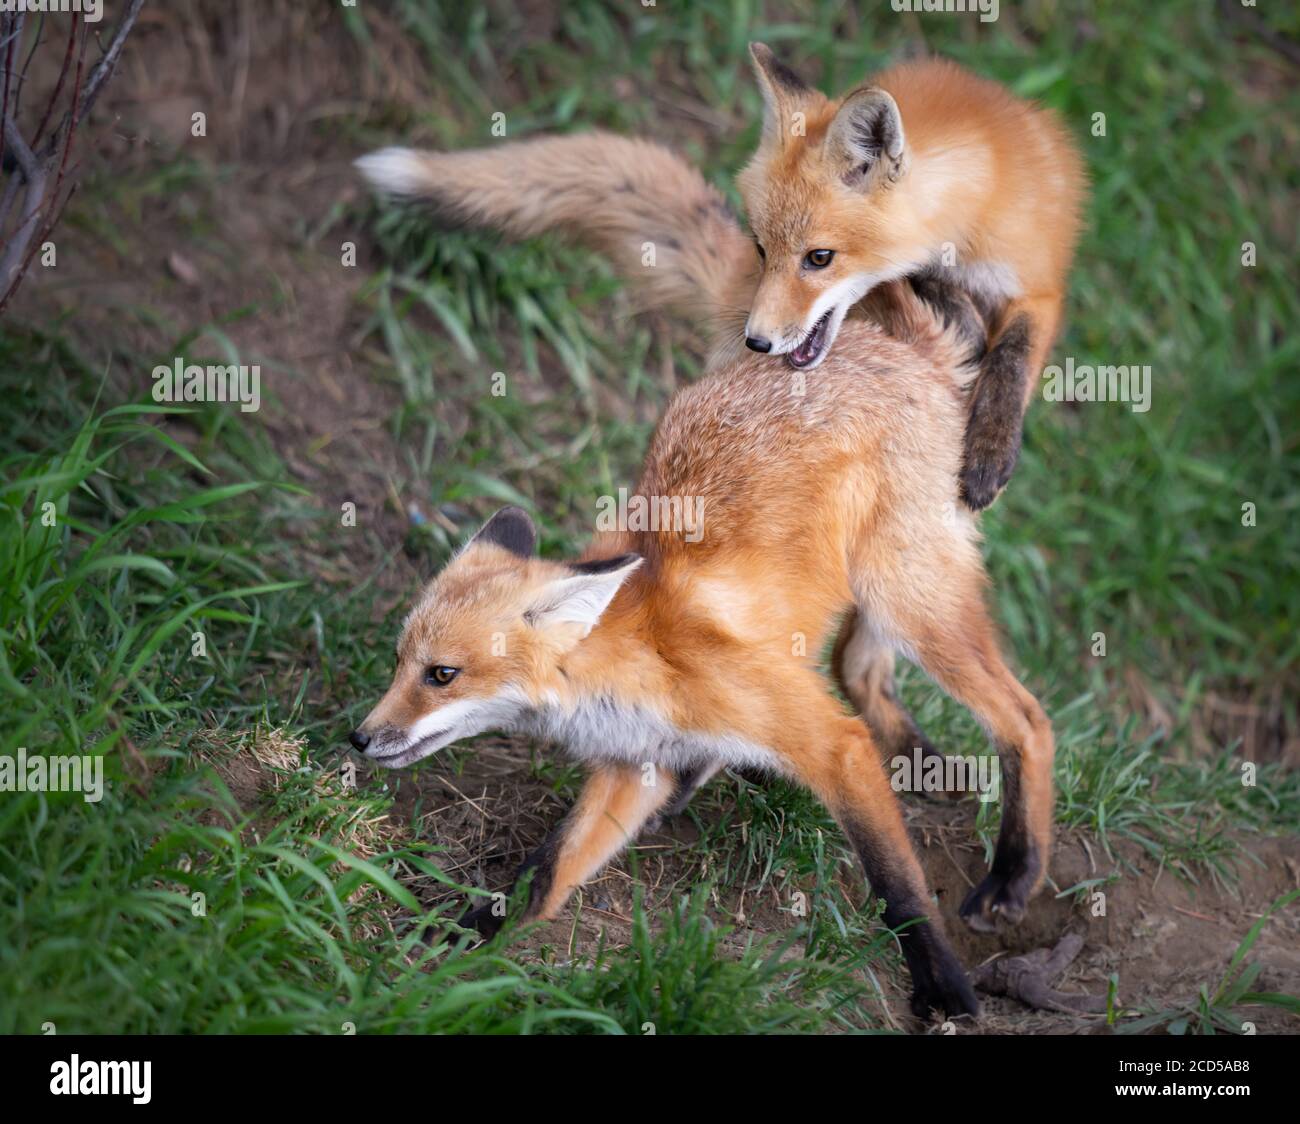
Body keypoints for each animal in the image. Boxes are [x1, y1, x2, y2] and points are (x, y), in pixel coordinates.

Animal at [348, 189, 1055, 1018]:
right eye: (400, 662)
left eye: (441, 675)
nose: (360, 738)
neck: (639, 659)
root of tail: (899, 345)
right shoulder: (636, 767)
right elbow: (542, 875)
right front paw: (461, 940)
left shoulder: (830, 744)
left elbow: (899, 890)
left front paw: (945, 989)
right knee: (862, 666)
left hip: (910, 599)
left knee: (1027, 719)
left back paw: (1015, 874)